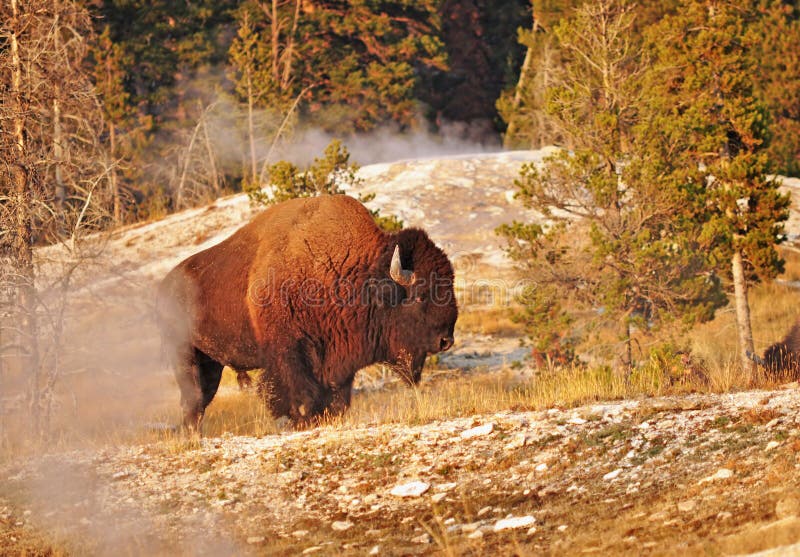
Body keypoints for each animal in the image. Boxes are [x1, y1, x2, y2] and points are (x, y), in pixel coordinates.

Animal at [156, 195, 458, 431]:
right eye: (419, 295)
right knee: (193, 400)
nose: (446, 340)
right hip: (185, 356)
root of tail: (163, 288)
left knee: (200, 401)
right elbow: (298, 394)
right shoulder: (289, 352)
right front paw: (299, 420)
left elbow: (335, 399)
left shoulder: (338, 362)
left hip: (211, 362)